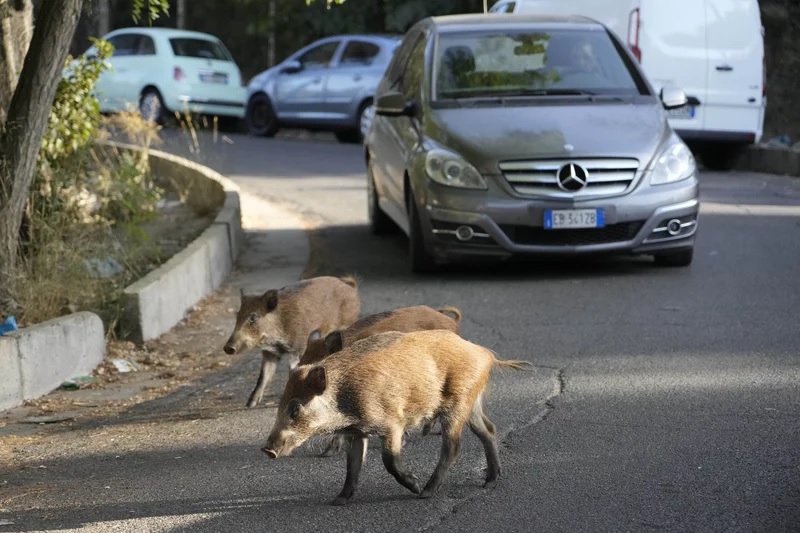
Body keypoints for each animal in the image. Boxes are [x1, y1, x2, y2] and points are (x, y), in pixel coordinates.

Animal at [223, 275, 360, 408]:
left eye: (253, 317)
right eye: (237, 316)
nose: (228, 347)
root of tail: (350, 285)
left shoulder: (299, 347)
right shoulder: (270, 353)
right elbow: (263, 376)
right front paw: (249, 405)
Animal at [262, 329, 531, 505]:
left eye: (295, 408)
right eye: (280, 405)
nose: (267, 450)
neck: (343, 396)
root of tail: (484, 353)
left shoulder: (393, 423)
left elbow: (389, 460)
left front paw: (414, 484)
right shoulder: (356, 431)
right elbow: (352, 465)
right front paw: (338, 500)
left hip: (457, 404)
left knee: (453, 445)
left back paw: (426, 492)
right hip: (471, 404)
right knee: (489, 429)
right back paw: (490, 482)